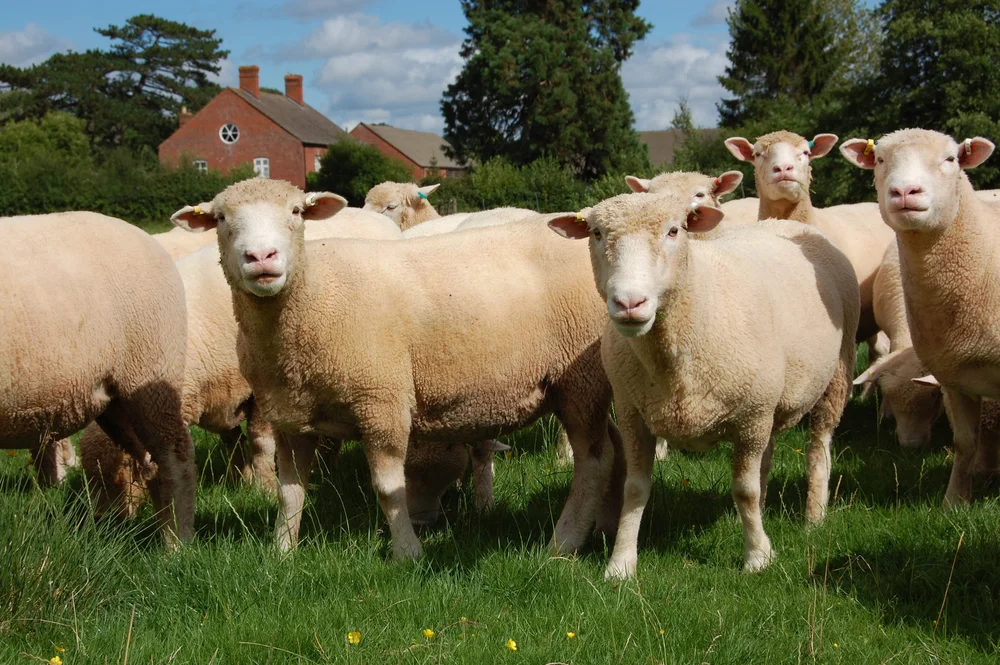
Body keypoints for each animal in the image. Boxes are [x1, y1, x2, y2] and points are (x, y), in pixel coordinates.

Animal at [0, 211, 195, 546]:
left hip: (151, 373)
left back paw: (177, 543)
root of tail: (144, 235)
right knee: (151, 463)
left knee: (175, 455)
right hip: (116, 400)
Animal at [170, 178, 618, 560]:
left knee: (594, 463)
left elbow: (388, 489)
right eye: (220, 218)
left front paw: (407, 552)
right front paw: (282, 552)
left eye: (296, 211)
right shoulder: (290, 418)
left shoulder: (381, 403)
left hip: (580, 383)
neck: (316, 296)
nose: (262, 258)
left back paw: (564, 542)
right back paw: (602, 528)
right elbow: (290, 492)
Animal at [548, 192, 859, 577]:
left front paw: (757, 557)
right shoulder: (633, 413)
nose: (629, 303)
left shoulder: (751, 417)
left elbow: (744, 490)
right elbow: (634, 489)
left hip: (835, 372)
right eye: (596, 233)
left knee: (818, 444)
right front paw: (620, 564)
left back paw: (814, 516)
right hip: (767, 404)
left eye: (674, 231)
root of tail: (789, 224)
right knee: (766, 459)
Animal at [840, 128, 998, 507]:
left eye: (951, 158)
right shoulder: (955, 375)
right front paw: (955, 501)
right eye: (880, 159)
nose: (904, 192)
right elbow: (964, 442)